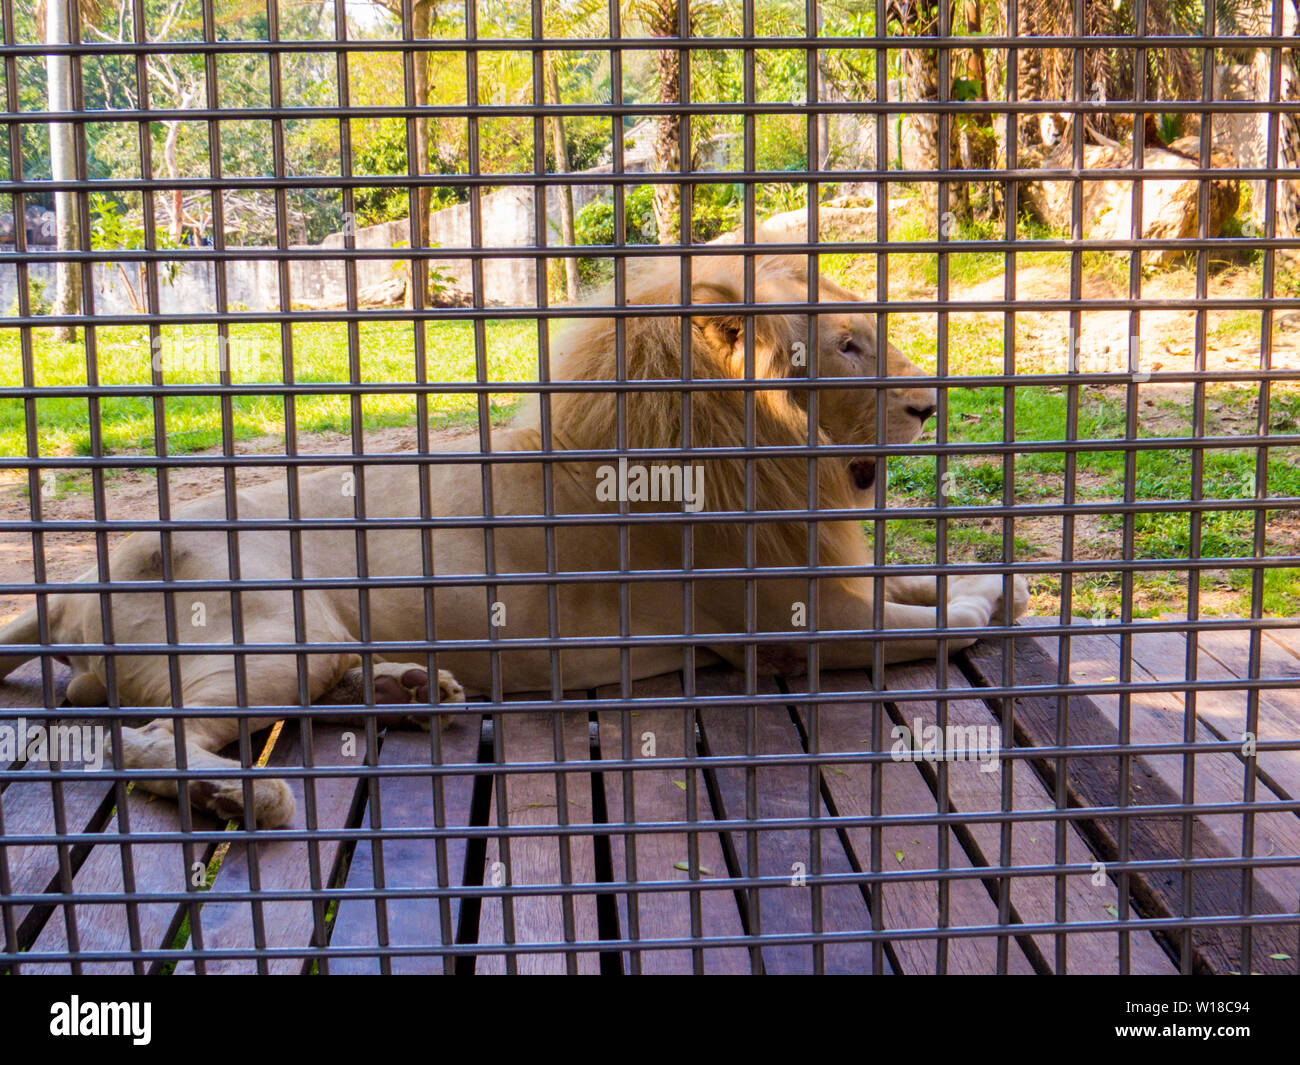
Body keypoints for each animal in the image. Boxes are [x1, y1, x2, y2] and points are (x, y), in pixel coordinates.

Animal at [0, 253, 1027, 826]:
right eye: (849, 346)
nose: (931, 405)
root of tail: (79, 581)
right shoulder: (786, 624)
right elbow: (930, 621)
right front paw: (988, 599)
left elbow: (916, 581)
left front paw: (998, 577)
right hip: (272, 632)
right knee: (145, 742)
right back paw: (241, 797)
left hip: (309, 643)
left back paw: (414, 689)